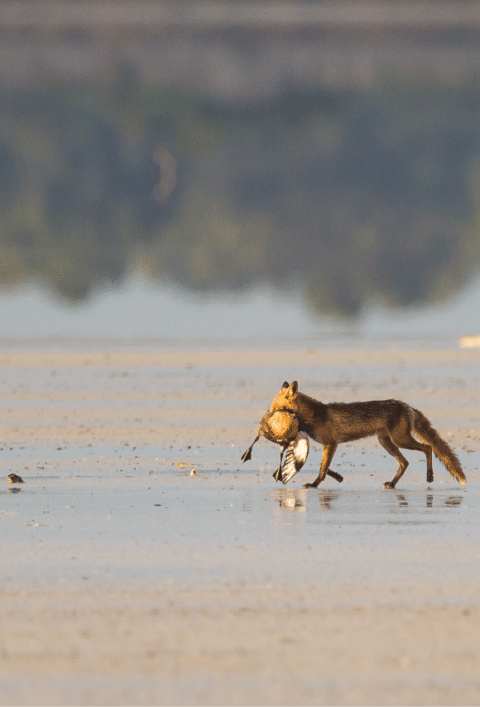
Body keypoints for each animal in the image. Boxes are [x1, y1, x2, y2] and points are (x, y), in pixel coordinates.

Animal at [269, 381, 466, 489]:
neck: (314, 416)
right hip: (386, 442)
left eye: (275, 408)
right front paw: (338, 477)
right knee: (405, 462)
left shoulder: (331, 443)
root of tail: (407, 406)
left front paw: (315, 484)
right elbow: (324, 466)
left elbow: (323, 468)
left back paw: (429, 476)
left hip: (400, 440)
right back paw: (392, 484)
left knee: (428, 447)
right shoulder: (329, 445)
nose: (268, 416)